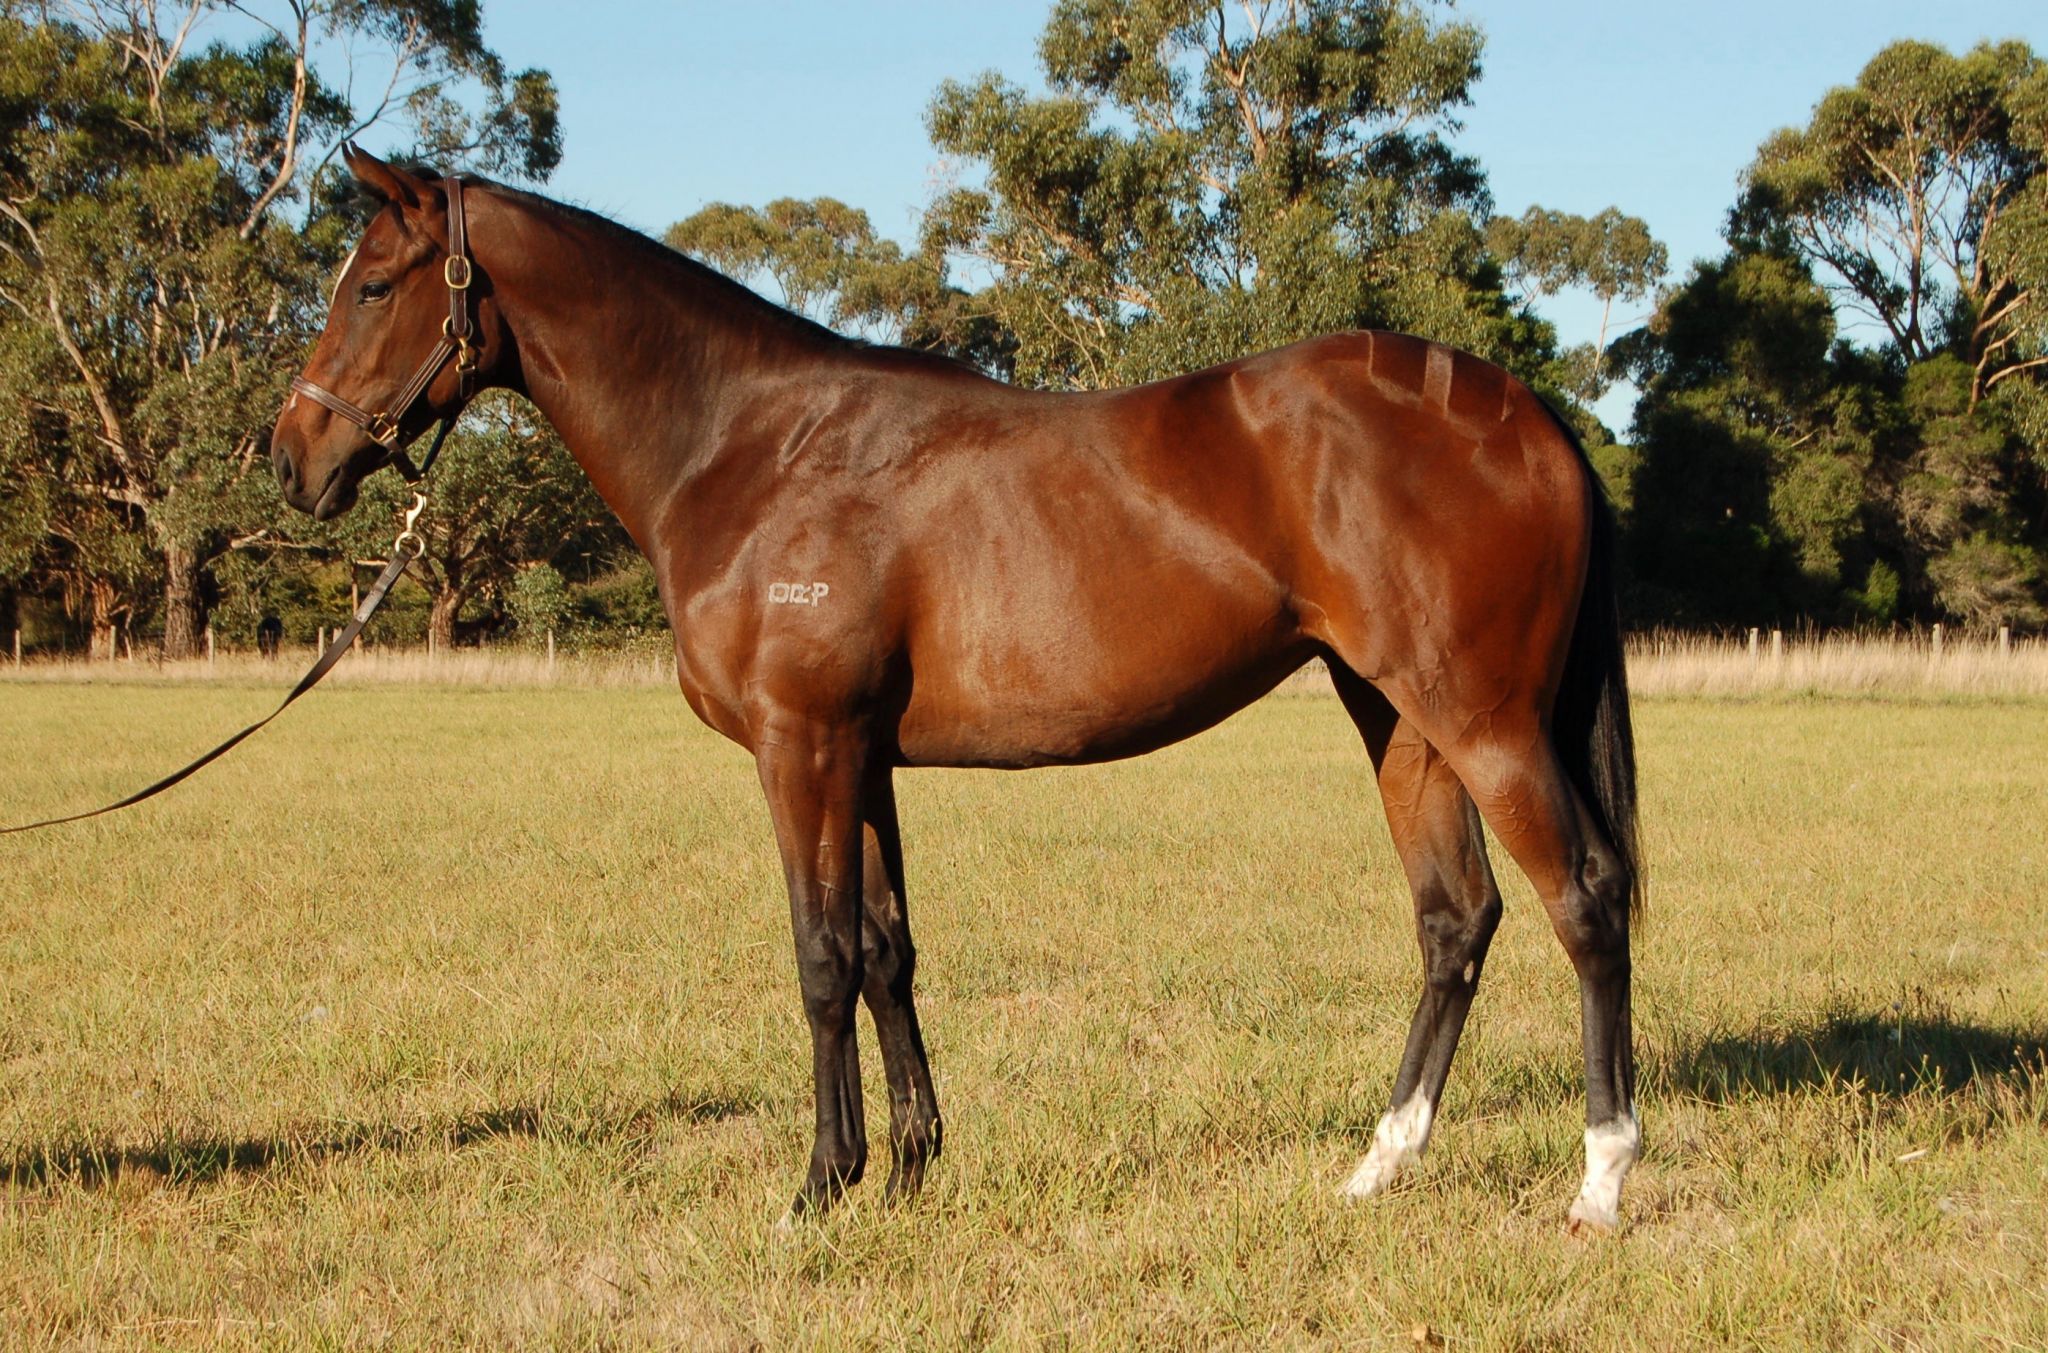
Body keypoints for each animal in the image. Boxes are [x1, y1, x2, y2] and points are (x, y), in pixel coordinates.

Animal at [269, 147, 1644, 1232]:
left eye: (373, 285)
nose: (291, 458)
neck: (750, 448)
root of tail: (1526, 417)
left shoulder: (801, 748)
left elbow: (821, 959)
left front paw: (819, 1187)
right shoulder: (861, 758)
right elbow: (887, 952)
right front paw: (911, 1169)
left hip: (1483, 721)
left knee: (1581, 903)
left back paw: (1599, 1180)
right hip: (1399, 720)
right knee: (1454, 921)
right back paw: (1381, 1164)